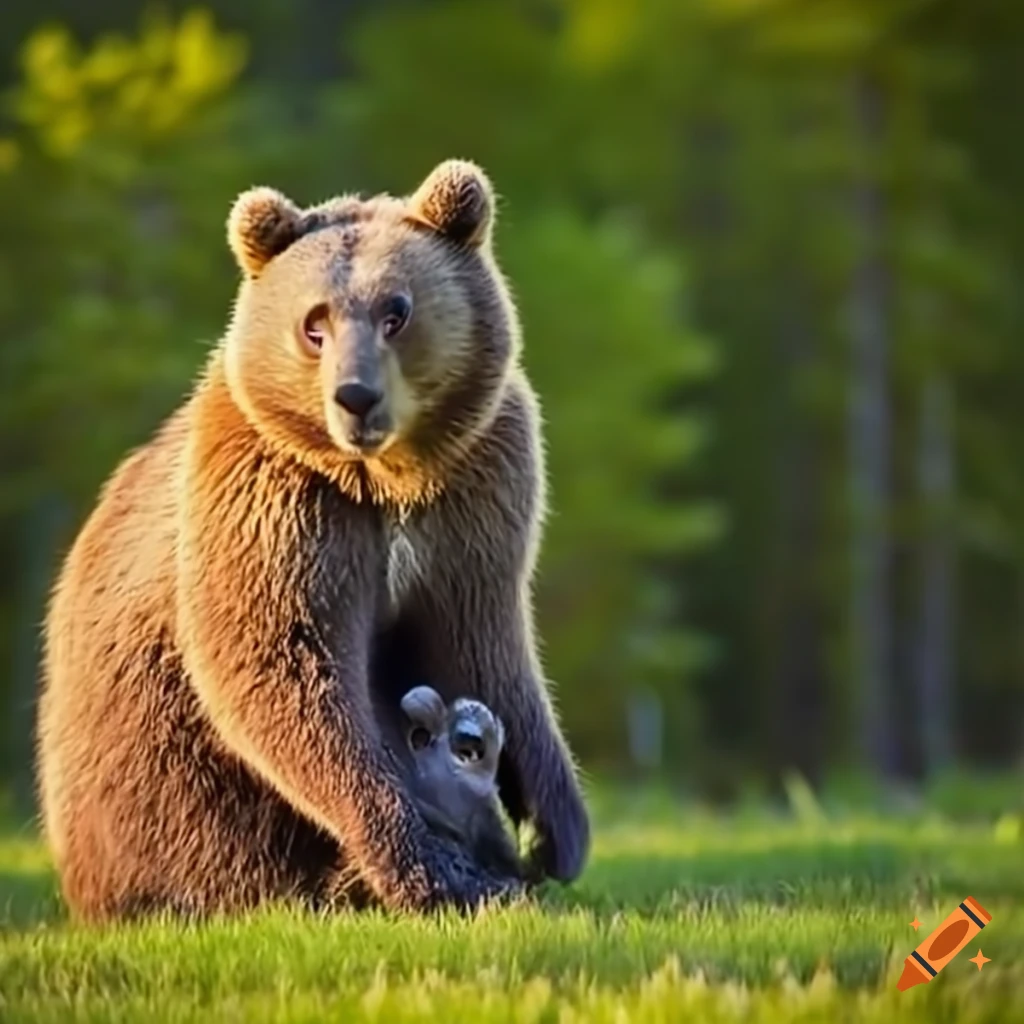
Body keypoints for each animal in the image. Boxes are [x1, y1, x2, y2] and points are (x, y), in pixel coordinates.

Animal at [36, 159, 590, 921]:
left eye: (396, 310)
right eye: (314, 324)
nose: (355, 397)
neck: (387, 479)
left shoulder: (474, 489)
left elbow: (479, 638)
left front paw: (555, 830)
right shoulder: (279, 500)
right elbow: (287, 665)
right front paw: (423, 862)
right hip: (162, 784)